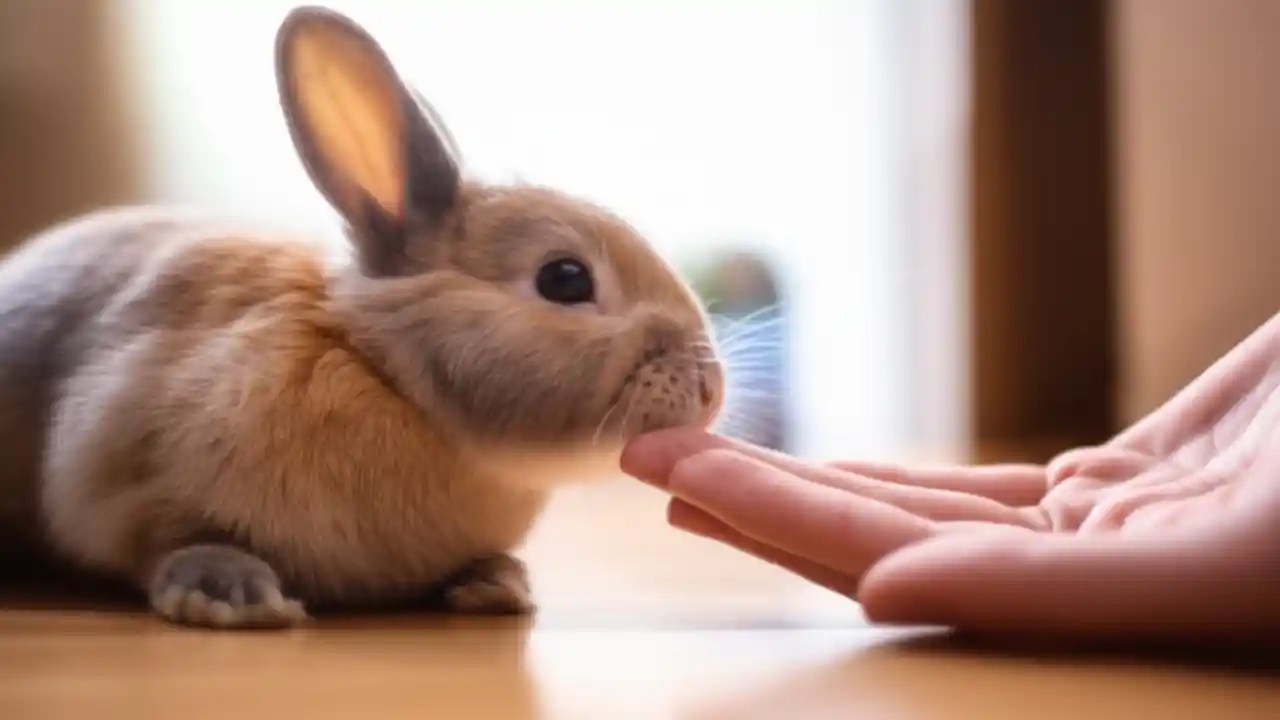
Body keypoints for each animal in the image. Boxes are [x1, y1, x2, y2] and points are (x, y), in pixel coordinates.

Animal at [0, 5, 724, 628]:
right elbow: (174, 540)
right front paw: (234, 596)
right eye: (565, 278)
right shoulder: (125, 469)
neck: (384, 372)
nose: (711, 388)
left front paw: (496, 585)